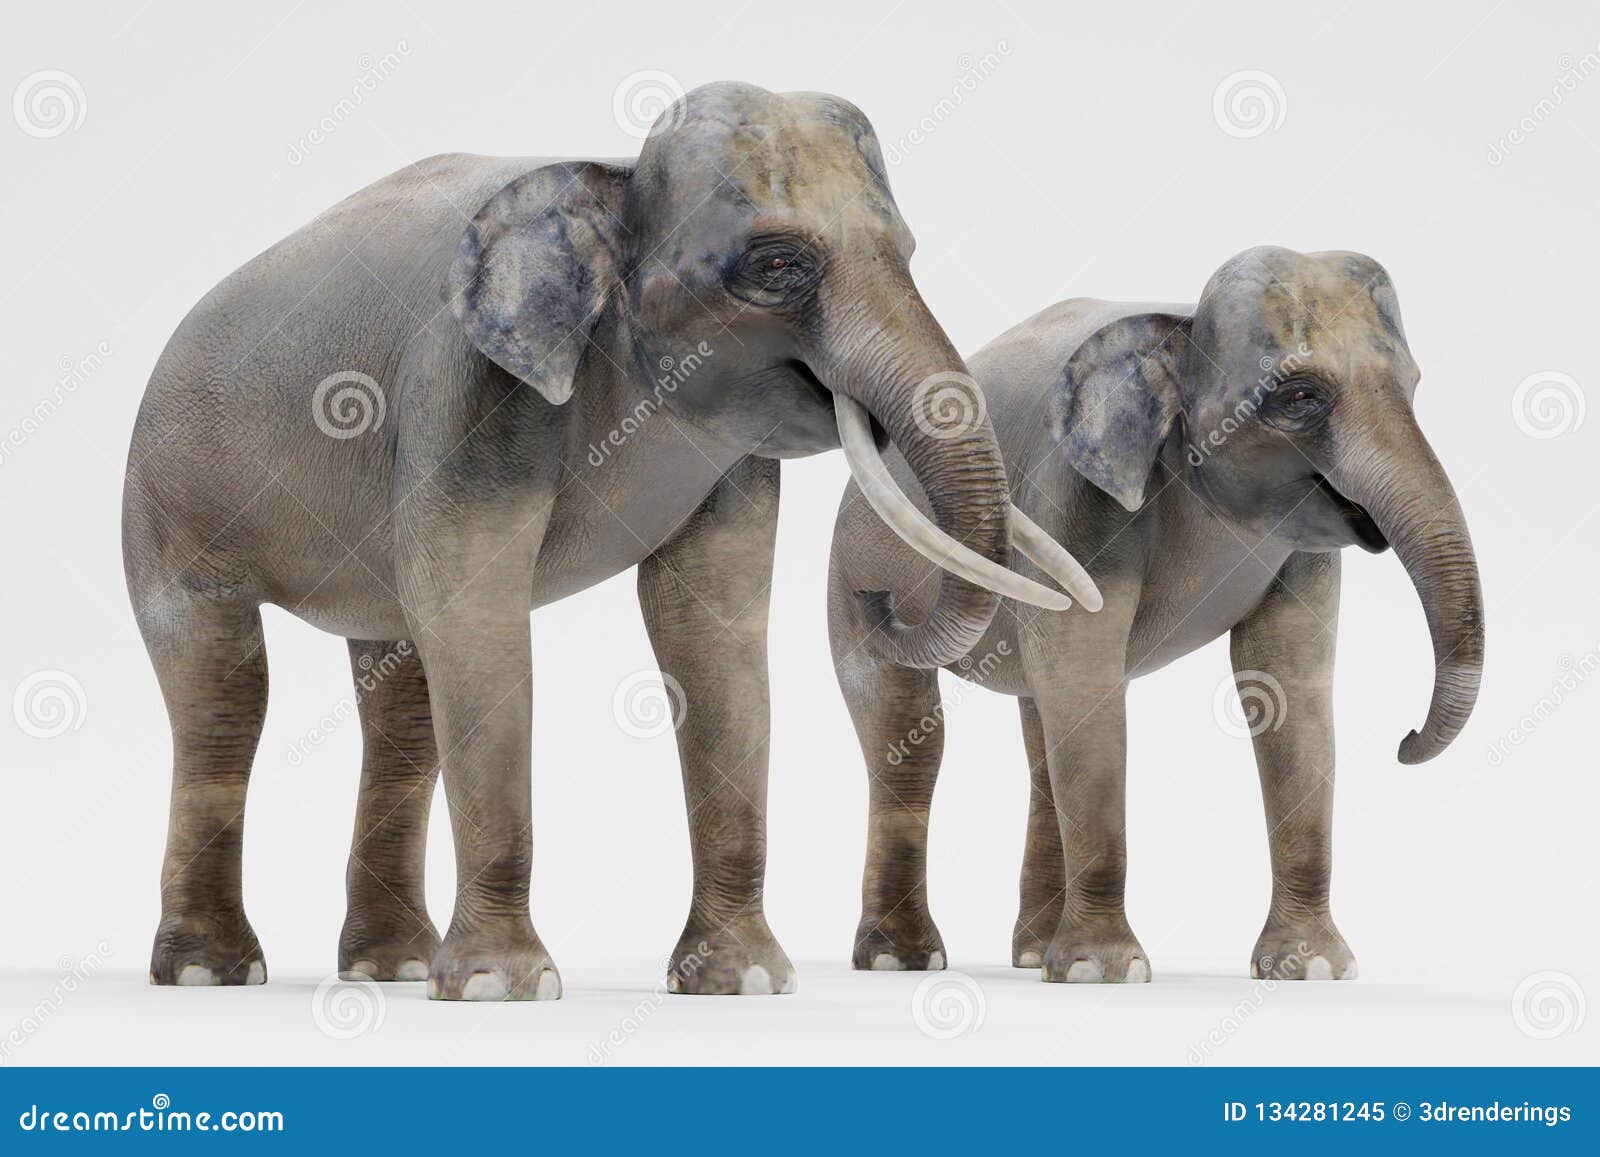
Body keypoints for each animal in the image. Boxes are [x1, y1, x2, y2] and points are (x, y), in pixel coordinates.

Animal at [121, 81, 1099, 1000]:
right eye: (778, 264)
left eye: (906, 253)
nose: (883, 601)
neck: (612, 173)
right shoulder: (467, 388)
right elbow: (475, 624)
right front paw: (501, 986)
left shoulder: (727, 453)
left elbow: (712, 635)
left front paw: (740, 981)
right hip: (166, 500)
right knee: (224, 693)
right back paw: (211, 971)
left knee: (398, 695)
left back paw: (389, 966)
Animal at [827, 246, 1484, 983]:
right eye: (1299, 397)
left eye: (1414, 384)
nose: (1405, 740)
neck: (1180, 322)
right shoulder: (1072, 498)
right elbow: (1090, 688)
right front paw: (1103, 971)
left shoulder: (1300, 548)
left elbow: (1292, 693)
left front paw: (1310, 967)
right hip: (851, 560)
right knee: (909, 740)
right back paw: (902, 959)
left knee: (1040, 731)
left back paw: (1032, 955)